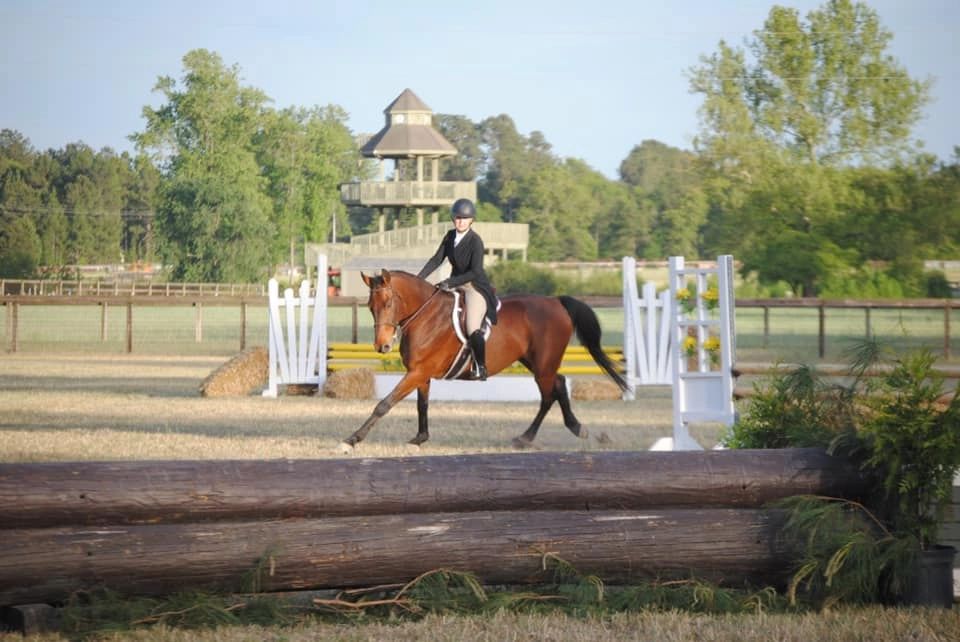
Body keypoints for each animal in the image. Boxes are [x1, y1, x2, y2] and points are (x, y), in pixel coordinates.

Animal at [338, 270, 628, 451]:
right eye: (370, 307)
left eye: (388, 304)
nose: (382, 346)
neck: (425, 316)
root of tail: (556, 302)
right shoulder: (420, 373)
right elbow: (422, 405)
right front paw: (420, 438)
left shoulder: (418, 372)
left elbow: (384, 404)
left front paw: (352, 439)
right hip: (534, 362)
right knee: (557, 387)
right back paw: (550, 432)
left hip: (543, 365)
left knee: (550, 393)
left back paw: (552, 432)